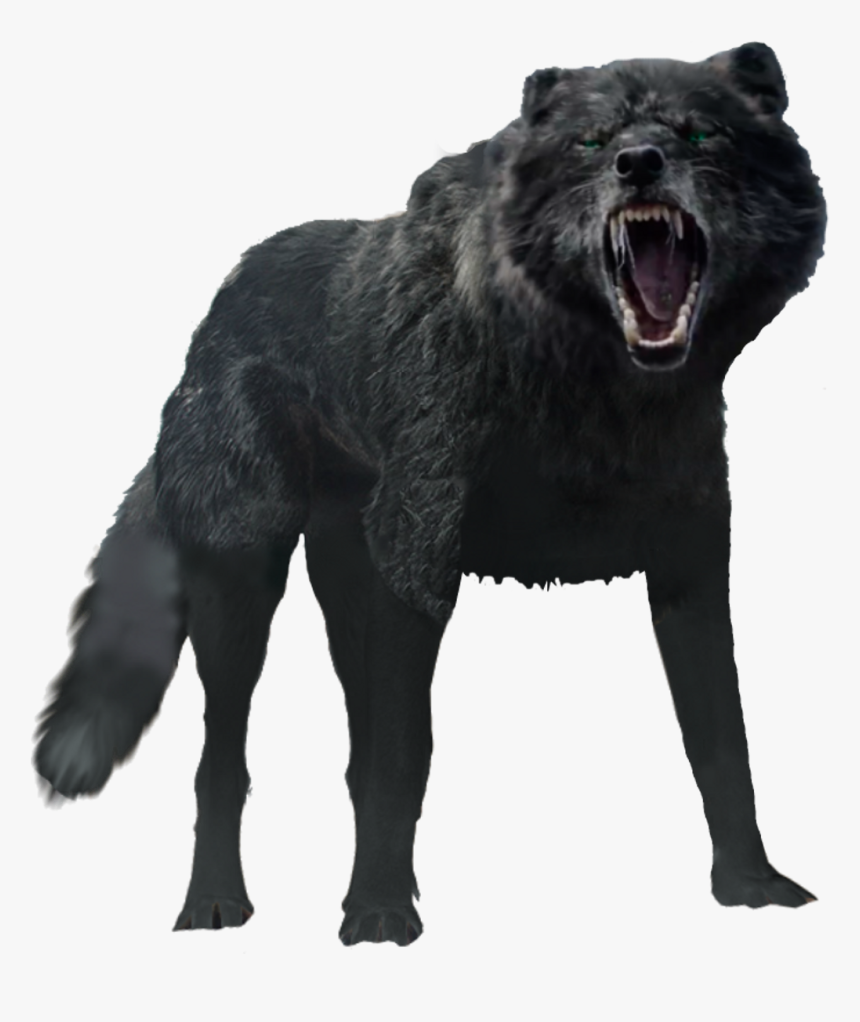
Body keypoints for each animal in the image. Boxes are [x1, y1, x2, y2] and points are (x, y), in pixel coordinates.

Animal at [34, 42, 826, 945]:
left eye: (700, 133)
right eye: (591, 144)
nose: (639, 163)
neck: (592, 391)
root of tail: (211, 318)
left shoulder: (690, 575)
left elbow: (725, 743)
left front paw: (752, 885)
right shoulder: (419, 574)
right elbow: (403, 757)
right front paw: (377, 913)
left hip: (348, 600)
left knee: (350, 753)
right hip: (243, 593)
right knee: (221, 760)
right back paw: (213, 903)